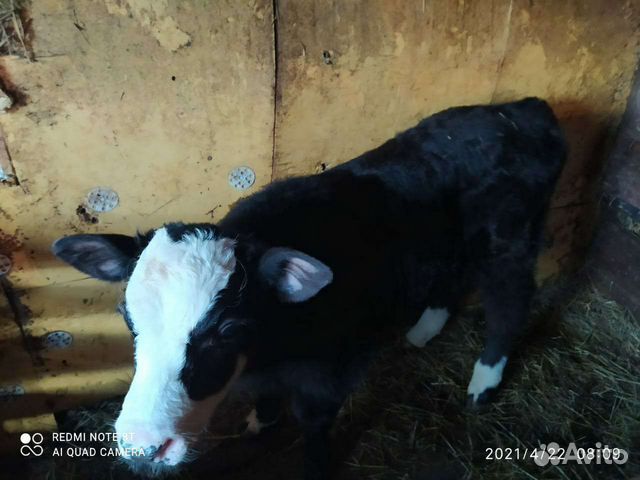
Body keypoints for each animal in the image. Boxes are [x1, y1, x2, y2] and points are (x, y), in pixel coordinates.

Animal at [52, 97, 567, 480]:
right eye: (129, 320)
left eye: (227, 331)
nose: (144, 445)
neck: (274, 345)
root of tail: (523, 109)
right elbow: (265, 401)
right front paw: (261, 422)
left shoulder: (330, 374)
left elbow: (316, 425)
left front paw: (316, 466)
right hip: (450, 240)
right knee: (451, 276)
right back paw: (424, 330)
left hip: (510, 240)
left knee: (509, 301)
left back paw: (484, 381)